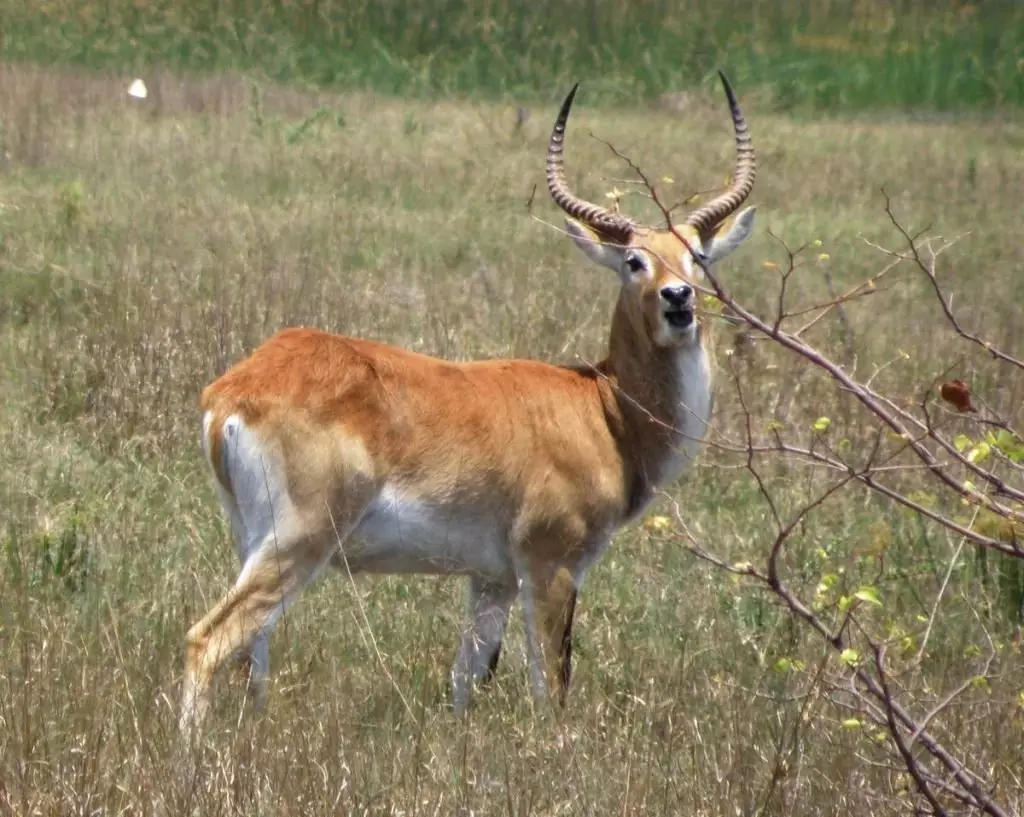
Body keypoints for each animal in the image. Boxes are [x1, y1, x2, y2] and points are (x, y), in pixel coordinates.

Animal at [180, 72, 757, 741]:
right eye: (634, 259)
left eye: (698, 255)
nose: (678, 299)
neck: (604, 408)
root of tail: (235, 389)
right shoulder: (550, 566)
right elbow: (550, 684)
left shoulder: (491, 580)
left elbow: (466, 679)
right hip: (299, 541)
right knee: (209, 639)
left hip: (251, 540)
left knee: (254, 650)